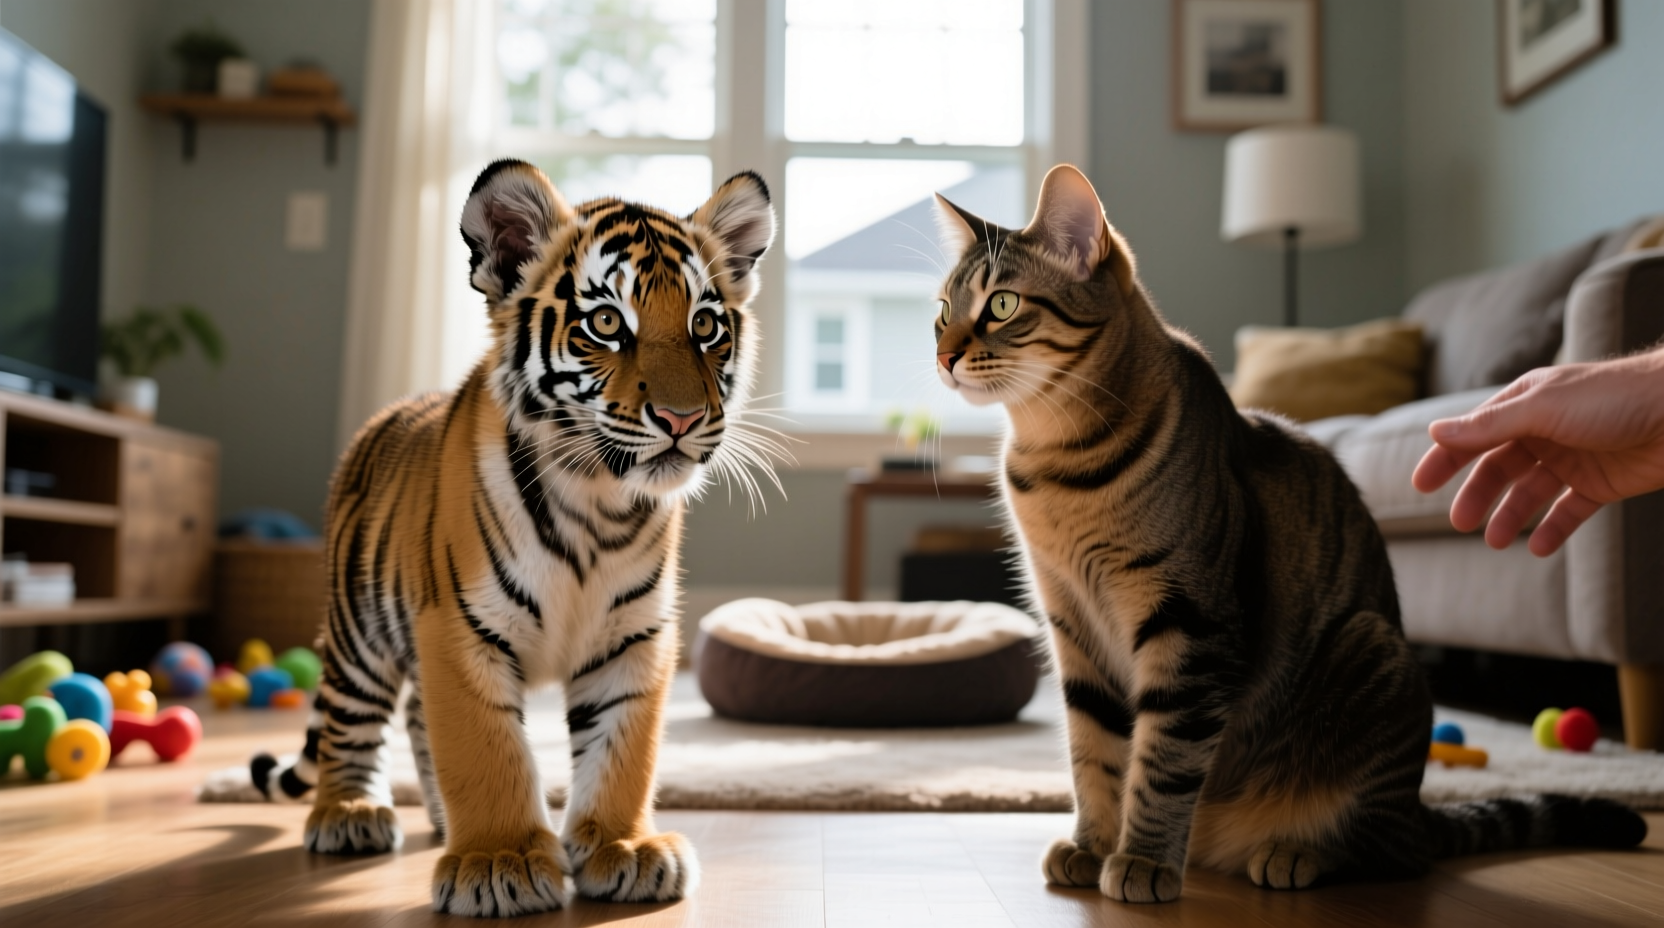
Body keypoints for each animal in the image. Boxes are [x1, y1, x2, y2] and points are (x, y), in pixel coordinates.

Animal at [249, 160, 777, 917]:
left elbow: (622, 750)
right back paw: (349, 814)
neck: (598, 504)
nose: (682, 418)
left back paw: (439, 819)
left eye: (705, 325)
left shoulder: (633, 639)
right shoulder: (460, 630)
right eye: (607, 322)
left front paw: (624, 848)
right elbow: (486, 747)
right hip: (358, 632)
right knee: (354, 721)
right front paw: (500, 862)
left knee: (416, 717)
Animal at [930, 163, 1646, 902]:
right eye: (943, 310)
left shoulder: (1193, 624)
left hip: (1370, 654)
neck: (1055, 461)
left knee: (1391, 851)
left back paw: (1298, 851)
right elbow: (1094, 752)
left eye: (1002, 305)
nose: (943, 355)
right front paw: (1093, 845)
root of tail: (1419, 810)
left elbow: (1163, 760)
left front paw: (1144, 859)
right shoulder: (1071, 624)